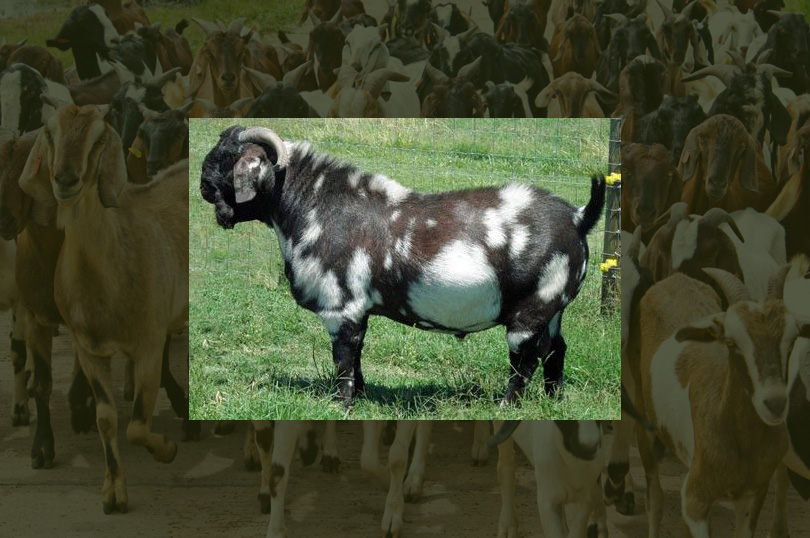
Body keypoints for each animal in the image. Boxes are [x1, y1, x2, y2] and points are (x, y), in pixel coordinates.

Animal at [18, 104, 189, 513]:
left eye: (99, 139)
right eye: (49, 133)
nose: (65, 179)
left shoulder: (147, 344)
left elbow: (137, 428)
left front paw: (166, 450)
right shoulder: (88, 350)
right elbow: (106, 420)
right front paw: (113, 493)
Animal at [199, 126, 606, 405]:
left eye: (226, 157)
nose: (202, 185)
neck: (315, 206)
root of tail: (577, 217)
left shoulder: (340, 308)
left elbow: (343, 359)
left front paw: (341, 404)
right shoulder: (358, 312)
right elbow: (357, 355)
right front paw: (360, 397)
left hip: (530, 312)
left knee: (524, 362)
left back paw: (508, 405)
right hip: (553, 309)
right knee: (556, 350)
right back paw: (554, 401)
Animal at [635, 267, 809, 537]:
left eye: (792, 341)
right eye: (731, 342)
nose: (775, 403)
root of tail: (676, 278)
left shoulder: (753, 494)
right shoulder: (694, 500)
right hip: (645, 426)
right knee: (655, 500)